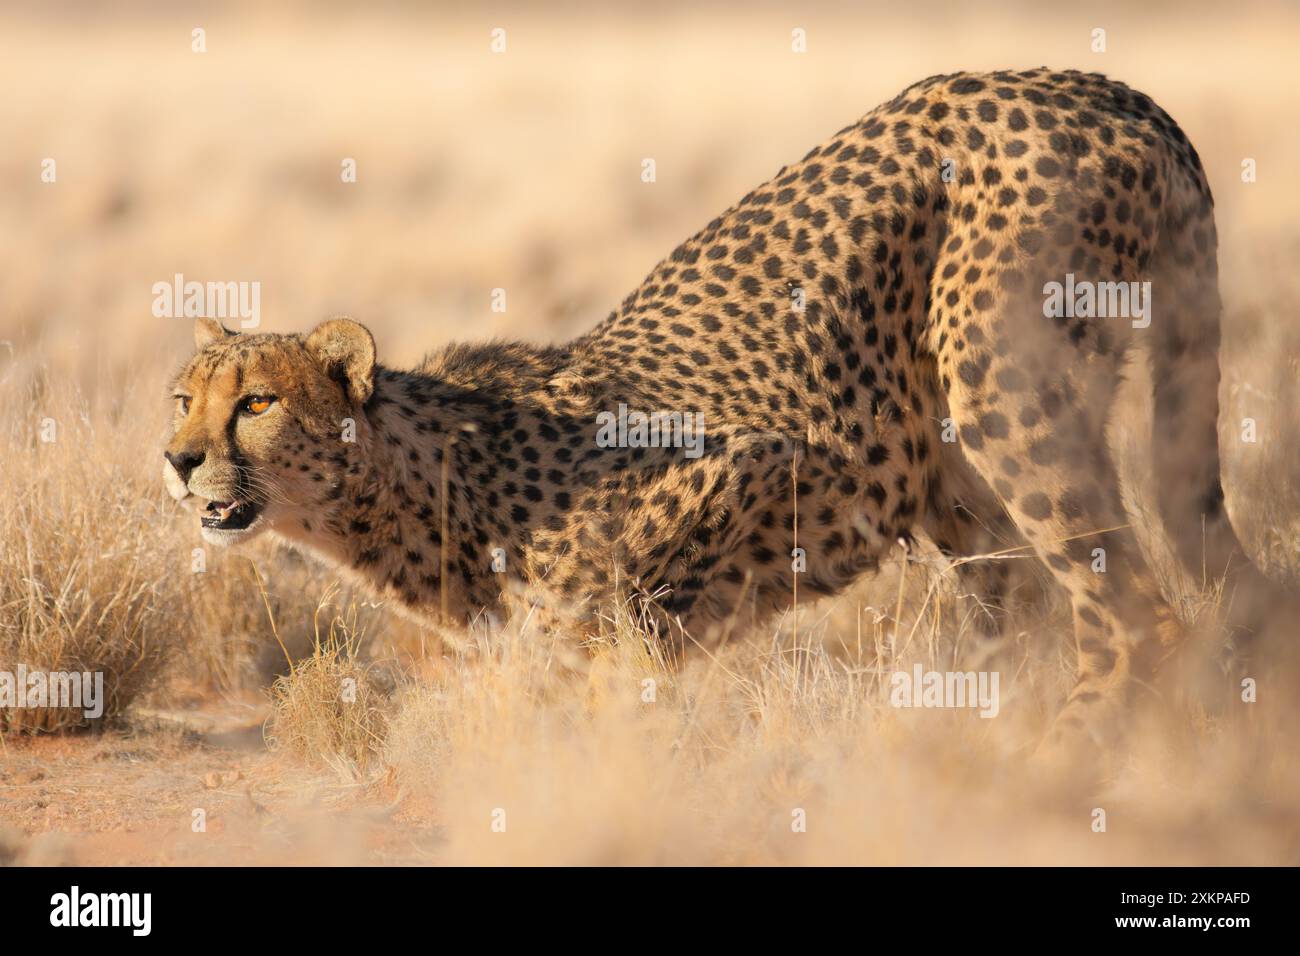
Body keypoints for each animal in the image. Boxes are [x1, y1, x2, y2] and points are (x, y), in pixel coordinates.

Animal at [165, 68, 1281, 755]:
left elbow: (618, 652)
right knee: (1053, 607)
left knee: (1136, 618)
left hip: (998, 380)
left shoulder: (755, 463)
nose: (177, 460)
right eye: (182, 400)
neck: (414, 483)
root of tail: (1102, 88)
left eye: (255, 402)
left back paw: (1053, 761)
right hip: (953, 470)